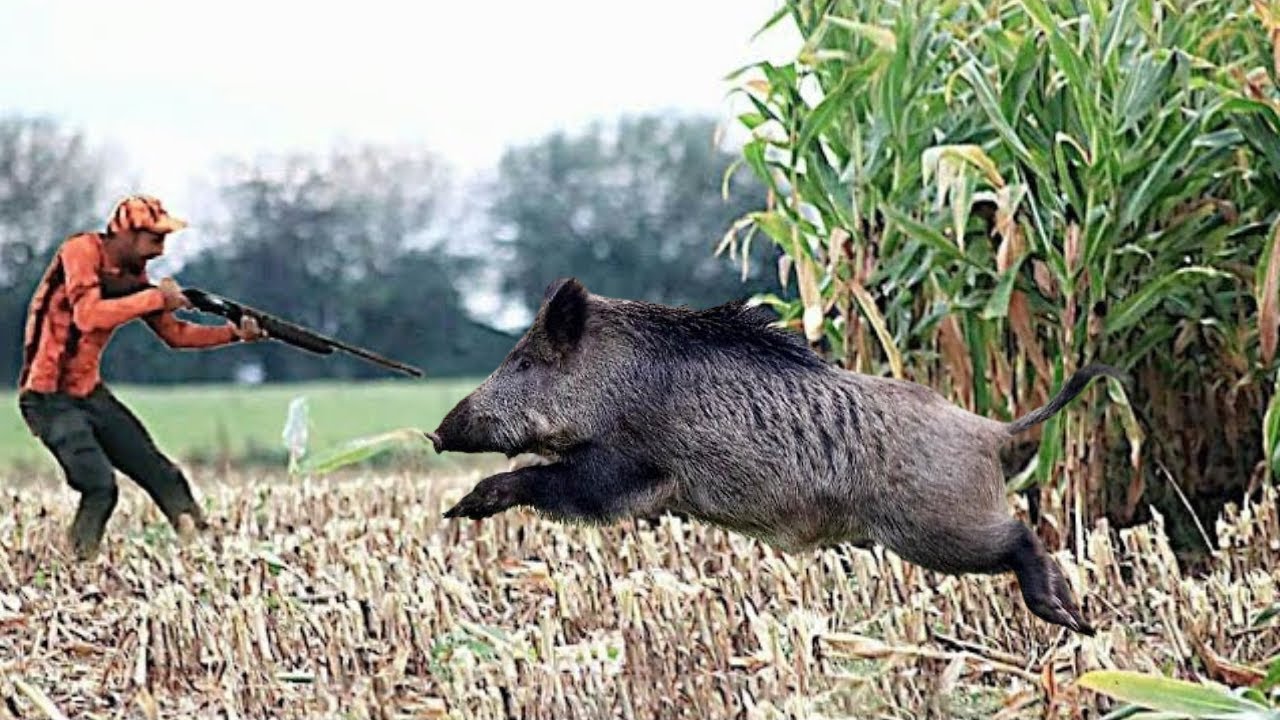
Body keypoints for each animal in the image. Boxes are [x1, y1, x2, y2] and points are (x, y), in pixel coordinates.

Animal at [429, 277, 1124, 635]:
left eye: (524, 362)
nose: (437, 435)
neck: (614, 382)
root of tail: (991, 430)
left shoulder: (632, 470)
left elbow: (554, 483)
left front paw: (464, 507)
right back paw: (1079, 620)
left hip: (936, 526)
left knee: (1019, 537)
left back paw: (1068, 619)